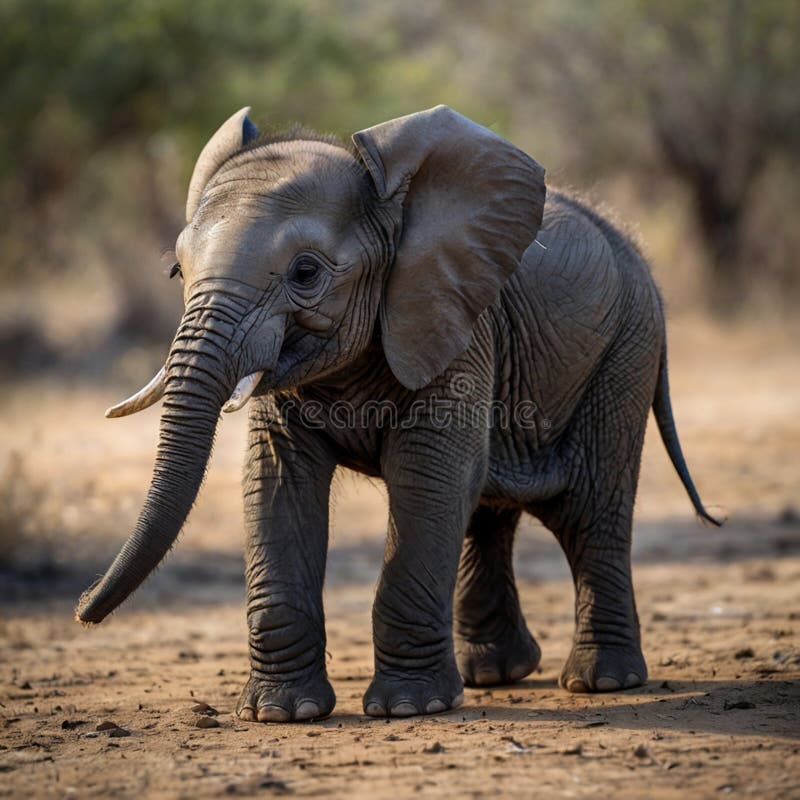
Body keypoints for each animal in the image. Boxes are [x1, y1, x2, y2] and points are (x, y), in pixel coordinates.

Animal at [76, 105, 719, 722]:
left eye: (306, 272)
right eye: (177, 272)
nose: (83, 609)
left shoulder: (455, 323)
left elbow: (426, 475)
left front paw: (411, 707)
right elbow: (277, 482)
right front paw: (280, 713)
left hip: (627, 350)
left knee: (589, 509)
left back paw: (600, 681)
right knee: (488, 507)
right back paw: (493, 675)